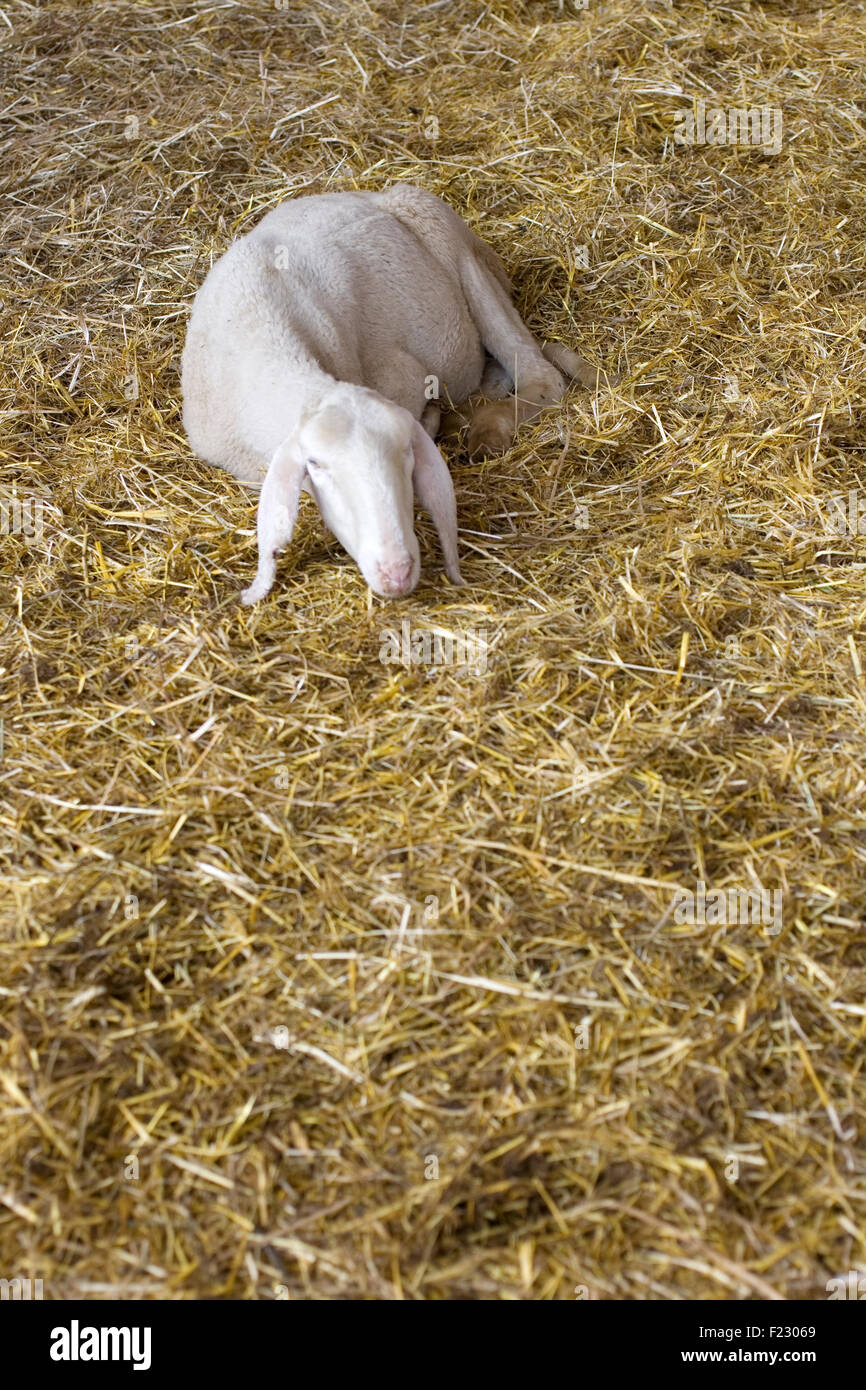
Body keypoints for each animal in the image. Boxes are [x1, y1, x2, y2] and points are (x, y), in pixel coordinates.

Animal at [181, 183, 616, 602]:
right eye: (317, 466)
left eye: (408, 454)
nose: (397, 571)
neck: (258, 327)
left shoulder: (404, 375)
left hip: (453, 247)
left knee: (541, 376)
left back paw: (487, 429)